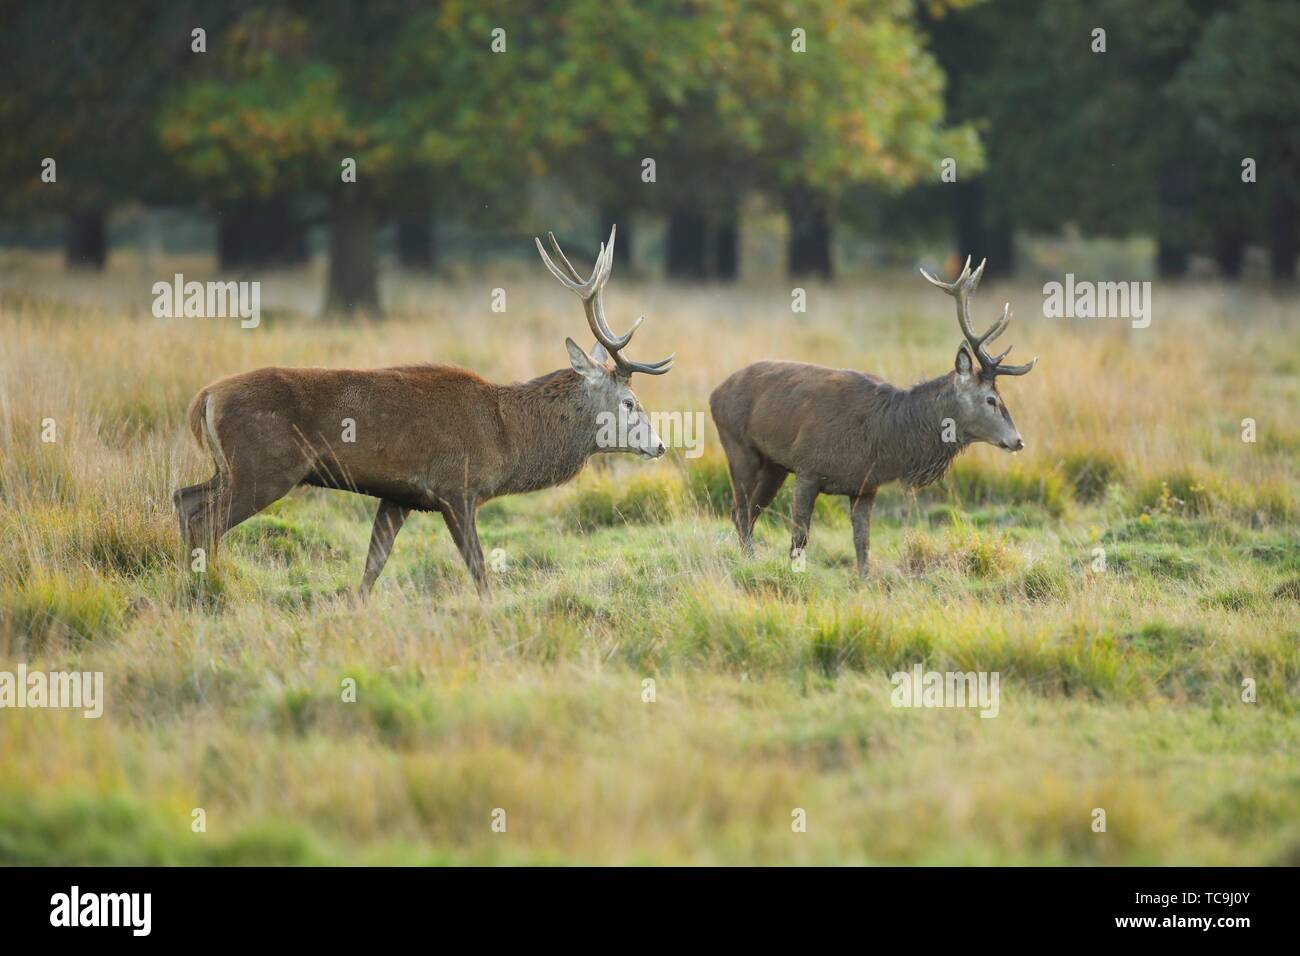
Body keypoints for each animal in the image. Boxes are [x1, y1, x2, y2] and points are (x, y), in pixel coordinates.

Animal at [173, 225, 673, 597]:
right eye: (629, 402)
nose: (661, 445)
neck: (506, 437)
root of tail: (205, 399)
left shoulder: (399, 496)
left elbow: (372, 567)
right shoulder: (456, 486)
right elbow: (479, 570)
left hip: (229, 467)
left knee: (184, 499)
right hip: (265, 467)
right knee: (206, 521)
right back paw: (210, 586)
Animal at [709, 256, 1036, 578]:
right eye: (991, 399)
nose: (1018, 440)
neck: (881, 437)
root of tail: (714, 393)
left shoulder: (866, 486)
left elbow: (862, 543)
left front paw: (864, 582)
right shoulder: (807, 468)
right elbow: (799, 538)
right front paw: (795, 575)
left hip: (775, 465)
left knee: (751, 512)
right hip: (738, 447)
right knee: (740, 511)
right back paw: (748, 561)